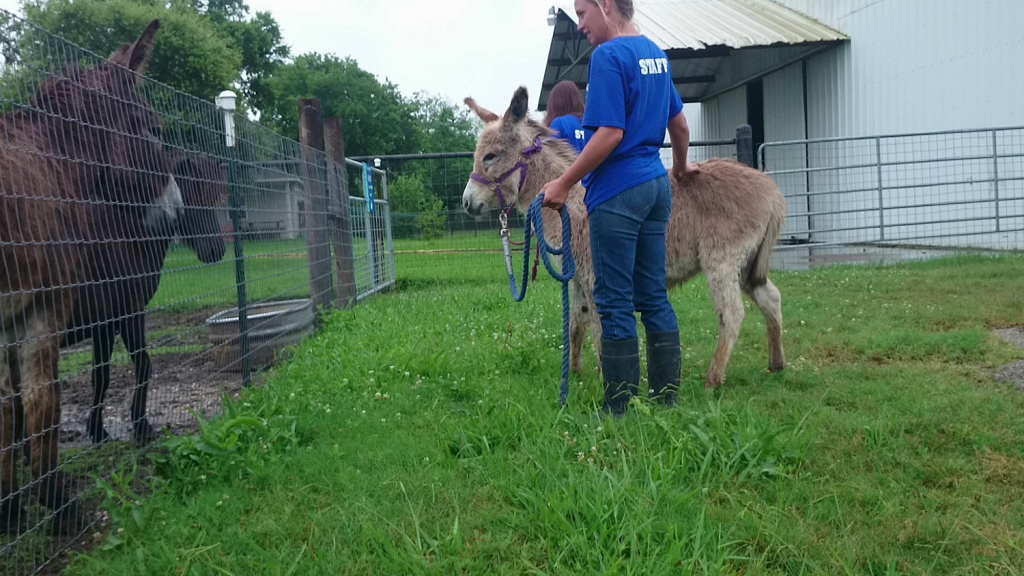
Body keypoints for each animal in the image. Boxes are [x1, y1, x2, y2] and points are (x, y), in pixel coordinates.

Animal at [0, 19, 180, 535]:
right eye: (155, 131)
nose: (174, 212)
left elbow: (19, 406)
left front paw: (14, 509)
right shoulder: (69, 307)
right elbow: (44, 402)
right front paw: (56, 505)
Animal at [462, 86, 786, 392]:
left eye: (490, 157)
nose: (466, 203)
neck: (569, 200)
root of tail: (771, 191)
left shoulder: (595, 274)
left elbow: (598, 327)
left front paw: (604, 380)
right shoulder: (577, 276)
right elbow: (576, 322)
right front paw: (576, 374)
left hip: (721, 260)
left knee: (731, 314)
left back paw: (713, 380)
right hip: (746, 264)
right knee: (770, 298)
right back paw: (776, 365)